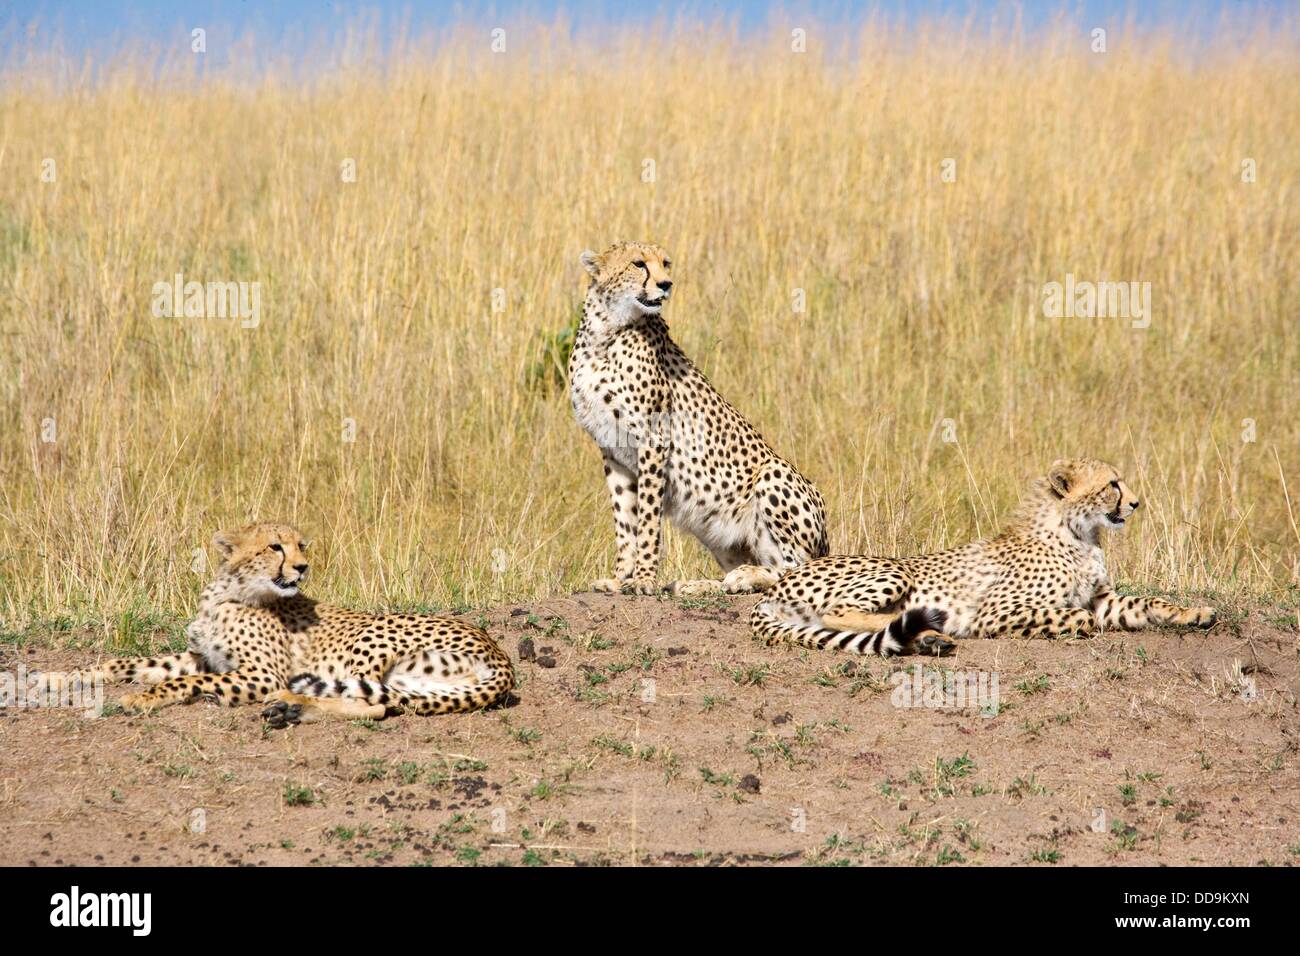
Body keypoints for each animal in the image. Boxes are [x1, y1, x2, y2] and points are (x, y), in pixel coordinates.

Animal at [30, 523, 514, 725]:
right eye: (275, 546)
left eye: (301, 545)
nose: (302, 567)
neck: (230, 592)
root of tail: (499, 652)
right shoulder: (200, 656)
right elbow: (126, 663)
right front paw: (56, 677)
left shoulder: (261, 674)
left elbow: (183, 683)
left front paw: (144, 699)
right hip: (416, 682)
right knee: (388, 702)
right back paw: (292, 707)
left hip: (368, 641)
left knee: (374, 705)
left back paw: (289, 703)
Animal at [569, 240, 828, 596]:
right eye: (638, 264)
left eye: (665, 263)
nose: (666, 284)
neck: (606, 331)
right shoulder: (612, 448)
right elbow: (624, 518)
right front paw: (620, 578)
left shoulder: (653, 439)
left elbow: (647, 518)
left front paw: (644, 579)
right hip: (718, 532)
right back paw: (694, 584)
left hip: (773, 475)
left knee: (794, 568)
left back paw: (744, 576)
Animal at [751, 458, 1217, 656]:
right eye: (1113, 484)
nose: (1137, 503)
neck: (1078, 532)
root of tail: (774, 588)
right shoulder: (994, 612)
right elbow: (1079, 617)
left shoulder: (1104, 599)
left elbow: (1147, 603)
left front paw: (1193, 613)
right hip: (893, 570)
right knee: (840, 614)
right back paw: (929, 631)